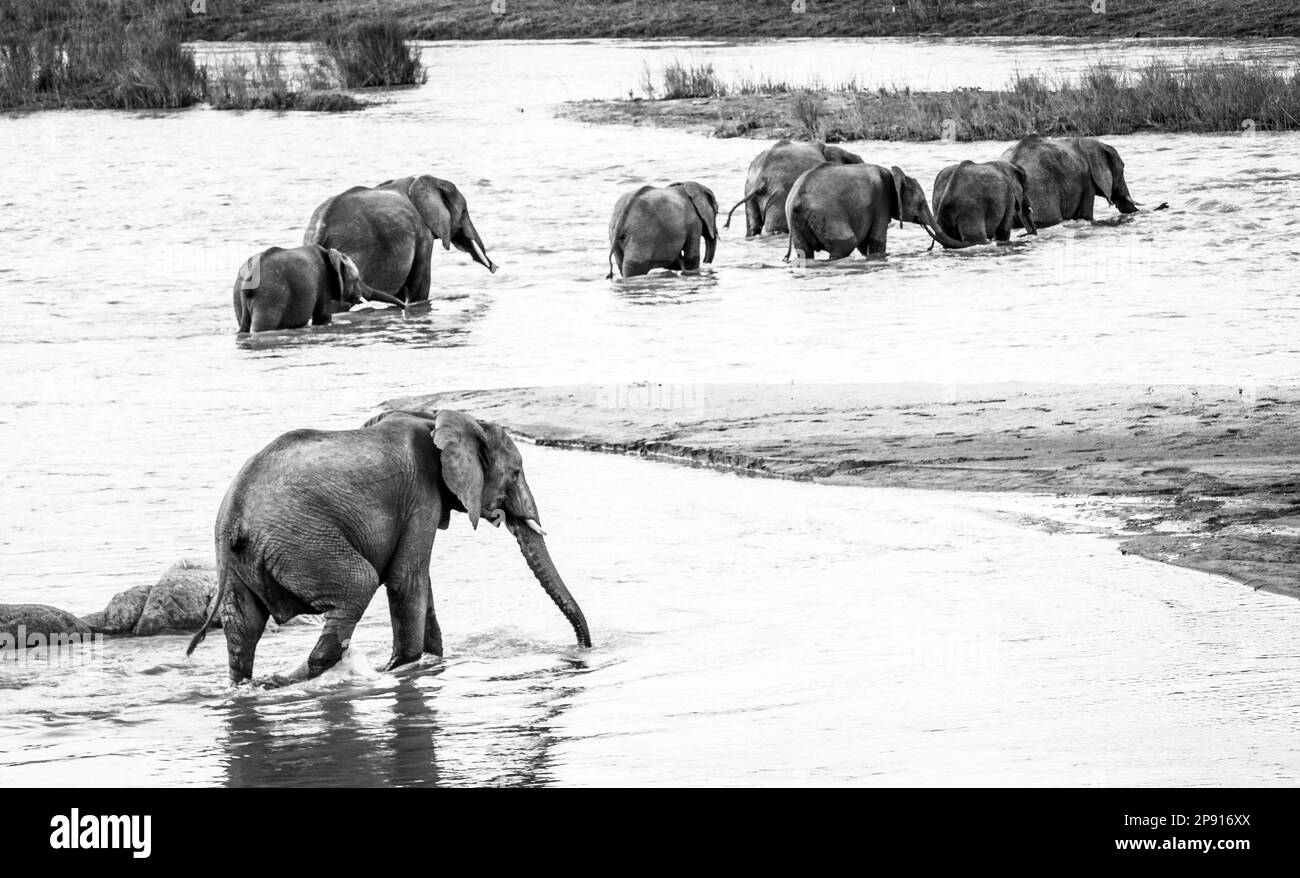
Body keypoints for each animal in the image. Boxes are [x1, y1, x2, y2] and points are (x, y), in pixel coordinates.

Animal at [187, 409, 591, 685]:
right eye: (517, 473)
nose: (583, 651)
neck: (437, 419)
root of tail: (233, 513)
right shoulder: (421, 493)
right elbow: (407, 578)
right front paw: (403, 667)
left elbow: (420, 583)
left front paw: (433, 661)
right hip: (300, 540)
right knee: (358, 584)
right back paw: (305, 678)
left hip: (246, 557)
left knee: (243, 626)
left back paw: (252, 684)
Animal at [232, 244, 406, 333]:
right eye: (356, 279)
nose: (404, 308)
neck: (330, 253)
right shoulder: (323, 283)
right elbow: (323, 317)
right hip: (271, 297)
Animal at [784, 163, 971, 260]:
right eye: (920, 203)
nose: (928, 248)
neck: (892, 173)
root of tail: (796, 201)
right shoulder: (881, 201)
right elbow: (876, 241)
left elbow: (863, 244)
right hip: (827, 216)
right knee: (845, 244)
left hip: (798, 222)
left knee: (804, 252)